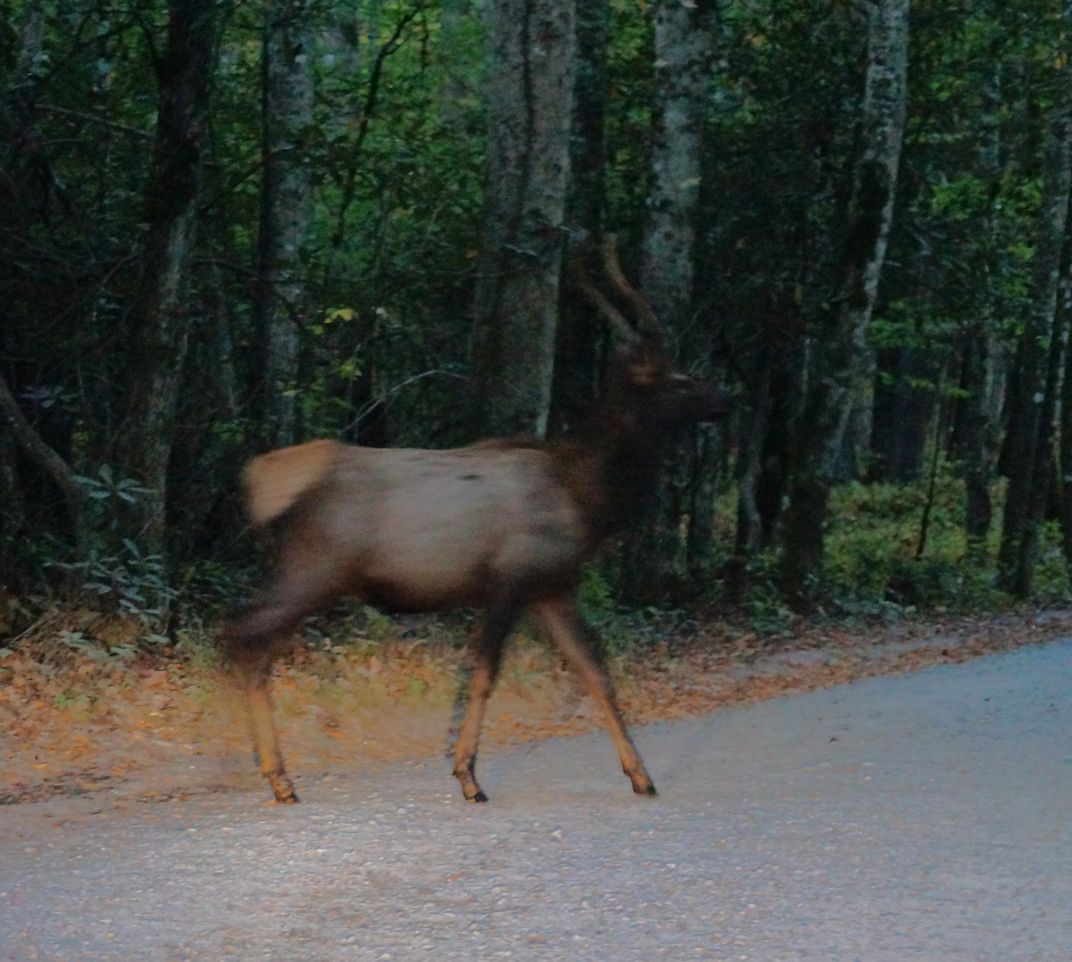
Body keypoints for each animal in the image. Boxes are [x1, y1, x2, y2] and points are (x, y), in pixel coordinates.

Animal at [221, 236, 727, 805]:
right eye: (677, 380)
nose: (725, 399)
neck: (589, 498)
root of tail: (260, 483)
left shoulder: (553, 586)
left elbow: (595, 672)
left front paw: (641, 775)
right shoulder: (509, 578)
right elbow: (484, 675)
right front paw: (468, 775)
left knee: (246, 638)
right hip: (314, 568)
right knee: (242, 635)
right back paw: (275, 776)